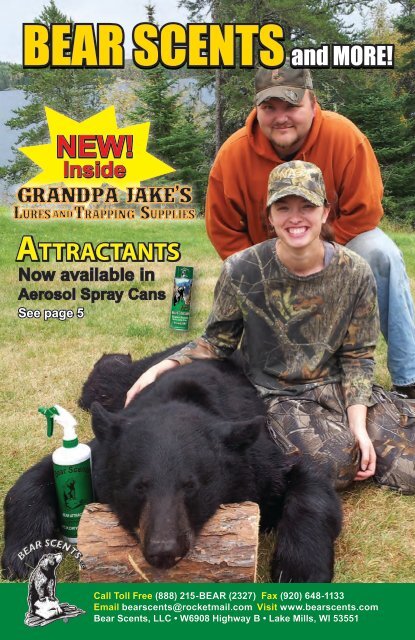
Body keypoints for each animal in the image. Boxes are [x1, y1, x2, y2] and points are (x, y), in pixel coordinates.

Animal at [2, 346, 342, 582]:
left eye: (191, 486)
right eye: (139, 486)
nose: (164, 550)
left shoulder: (260, 463)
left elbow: (308, 483)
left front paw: (300, 570)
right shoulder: (98, 455)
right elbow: (33, 480)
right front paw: (22, 555)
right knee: (106, 377)